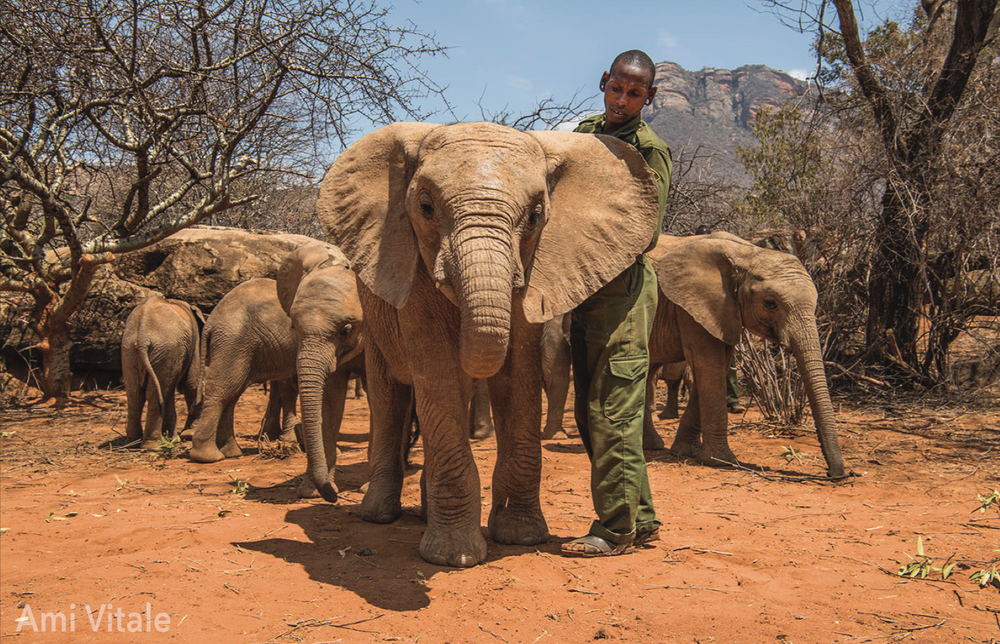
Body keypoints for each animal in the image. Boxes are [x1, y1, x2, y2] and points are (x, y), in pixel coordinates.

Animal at [121, 295, 204, 450]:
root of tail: (142, 337)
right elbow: (191, 383)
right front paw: (187, 436)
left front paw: (175, 439)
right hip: (166, 349)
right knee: (156, 394)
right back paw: (152, 446)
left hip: (130, 351)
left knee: (136, 394)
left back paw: (132, 444)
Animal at [317, 121, 660, 567]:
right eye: (425, 207)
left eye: (535, 216)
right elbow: (438, 369)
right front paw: (454, 558)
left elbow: (516, 372)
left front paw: (520, 537)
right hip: (372, 307)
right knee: (389, 392)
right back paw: (378, 515)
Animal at [643, 232, 847, 478]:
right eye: (770, 303)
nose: (836, 474)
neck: (747, 254)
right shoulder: (690, 304)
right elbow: (707, 365)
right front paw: (722, 461)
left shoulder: (721, 310)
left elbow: (717, 367)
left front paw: (687, 452)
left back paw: (652, 445)